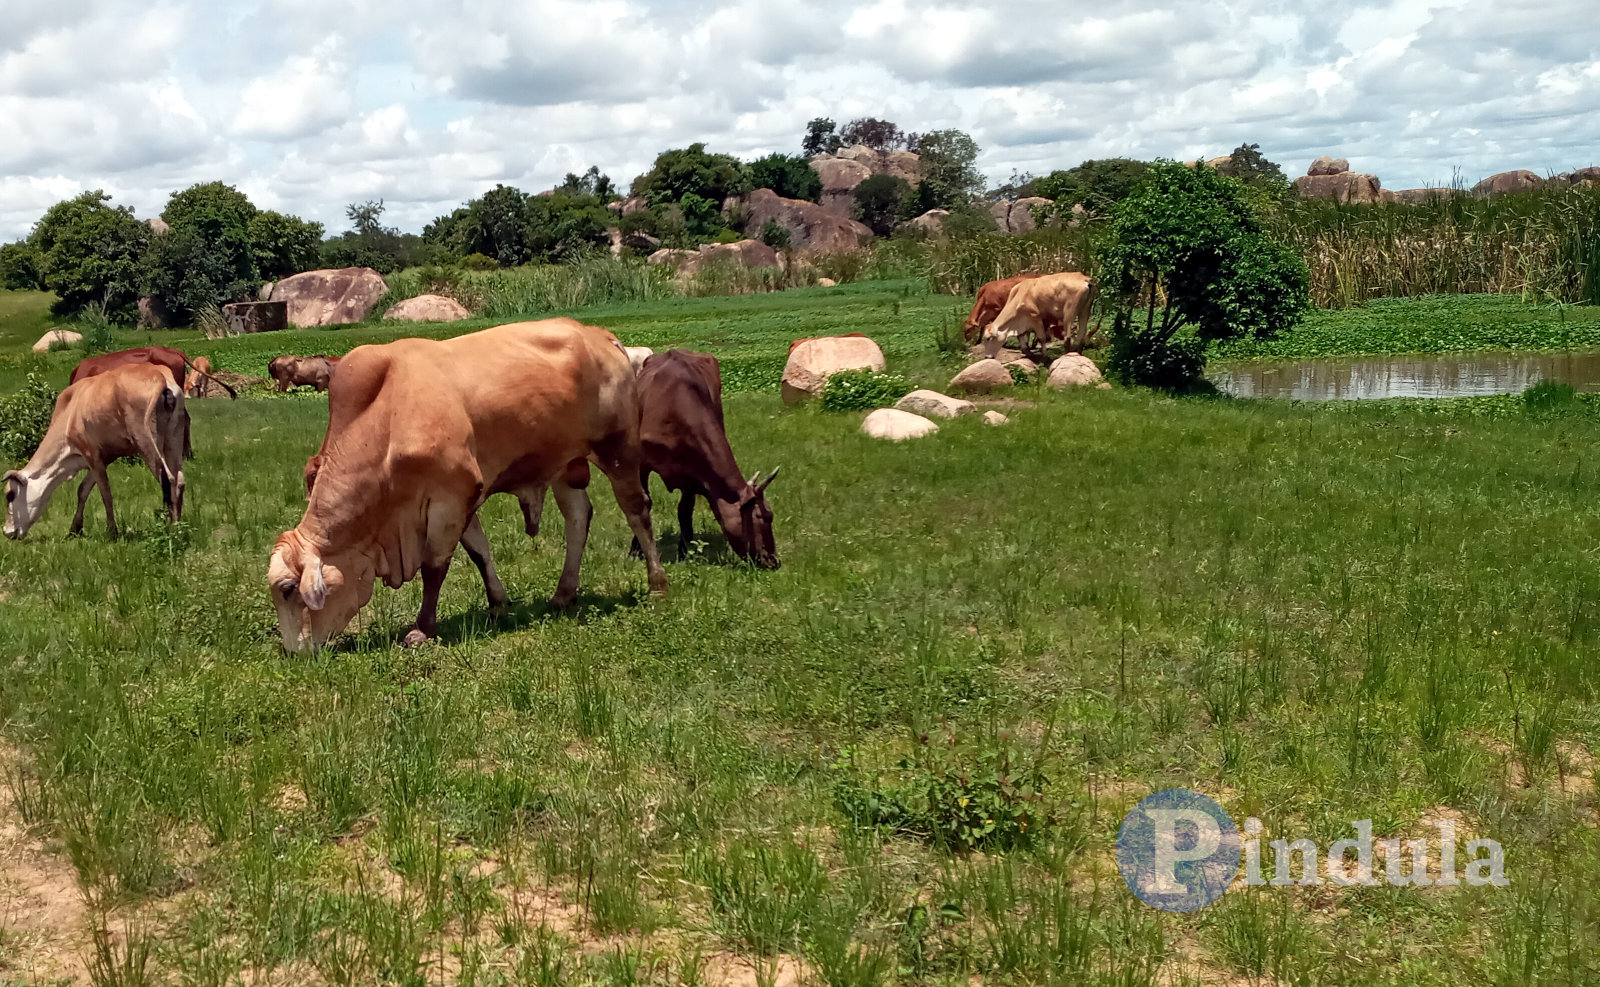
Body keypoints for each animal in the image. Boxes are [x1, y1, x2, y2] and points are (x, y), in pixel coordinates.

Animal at [4, 363, 186, 540]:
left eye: (10, 495)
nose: (6, 531)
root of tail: (159, 375)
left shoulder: (91, 454)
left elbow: (105, 492)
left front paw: (112, 532)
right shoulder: (102, 458)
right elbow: (83, 490)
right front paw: (75, 528)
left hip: (146, 441)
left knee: (168, 479)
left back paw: (172, 530)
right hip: (173, 437)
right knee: (179, 480)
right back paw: (179, 525)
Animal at [268, 318, 668, 653]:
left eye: (288, 590)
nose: (293, 652)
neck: (387, 421)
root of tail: (599, 335)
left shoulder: (450, 498)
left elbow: (434, 567)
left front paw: (423, 629)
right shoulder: (461, 499)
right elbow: (479, 551)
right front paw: (498, 603)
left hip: (618, 451)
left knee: (637, 511)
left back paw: (657, 584)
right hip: (563, 465)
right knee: (578, 518)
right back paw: (563, 593)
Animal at [634, 350, 779, 569]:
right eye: (764, 516)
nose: (774, 560)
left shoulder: (692, 473)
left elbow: (685, 510)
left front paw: (685, 551)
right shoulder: (641, 462)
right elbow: (643, 502)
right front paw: (636, 551)